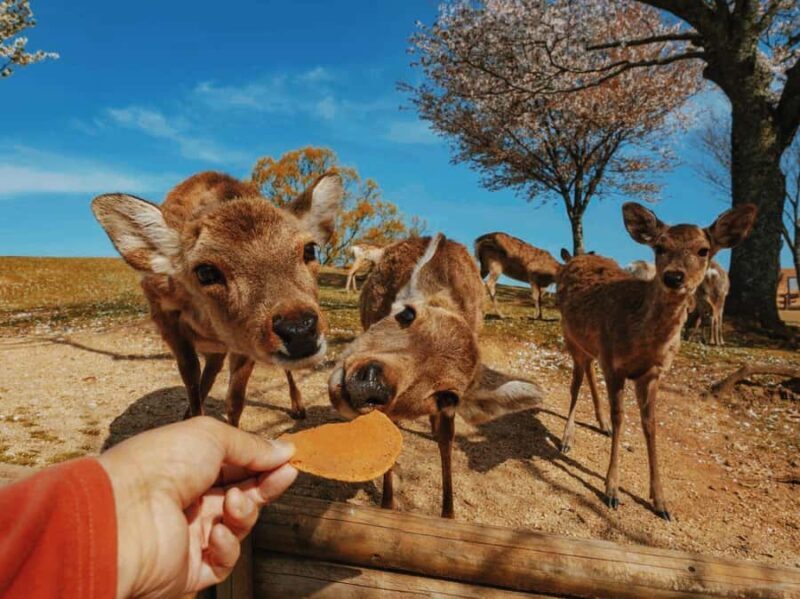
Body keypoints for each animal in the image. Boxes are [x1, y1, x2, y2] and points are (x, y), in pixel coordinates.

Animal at [92, 171, 343, 426]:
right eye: (205, 271)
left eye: (310, 249)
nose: (299, 328)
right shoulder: (163, 313)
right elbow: (191, 375)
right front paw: (194, 419)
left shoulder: (243, 340)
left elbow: (236, 399)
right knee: (211, 369)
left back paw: (298, 407)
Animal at [329, 234, 544, 518]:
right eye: (407, 313)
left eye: (448, 396)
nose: (370, 383)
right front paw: (387, 505)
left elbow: (447, 438)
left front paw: (448, 514)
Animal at [557, 202, 757, 521]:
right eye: (660, 247)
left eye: (703, 250)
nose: (674, 276)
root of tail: (574, 259)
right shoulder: (614, 364)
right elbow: (622, 418)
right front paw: (611, 491)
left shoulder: (652, 373)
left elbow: (650, 425)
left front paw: (660, 502)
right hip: (570, 336)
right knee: (575, 383)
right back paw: (567, 439)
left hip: (589, 346)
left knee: (587, 371)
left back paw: (600, 424)